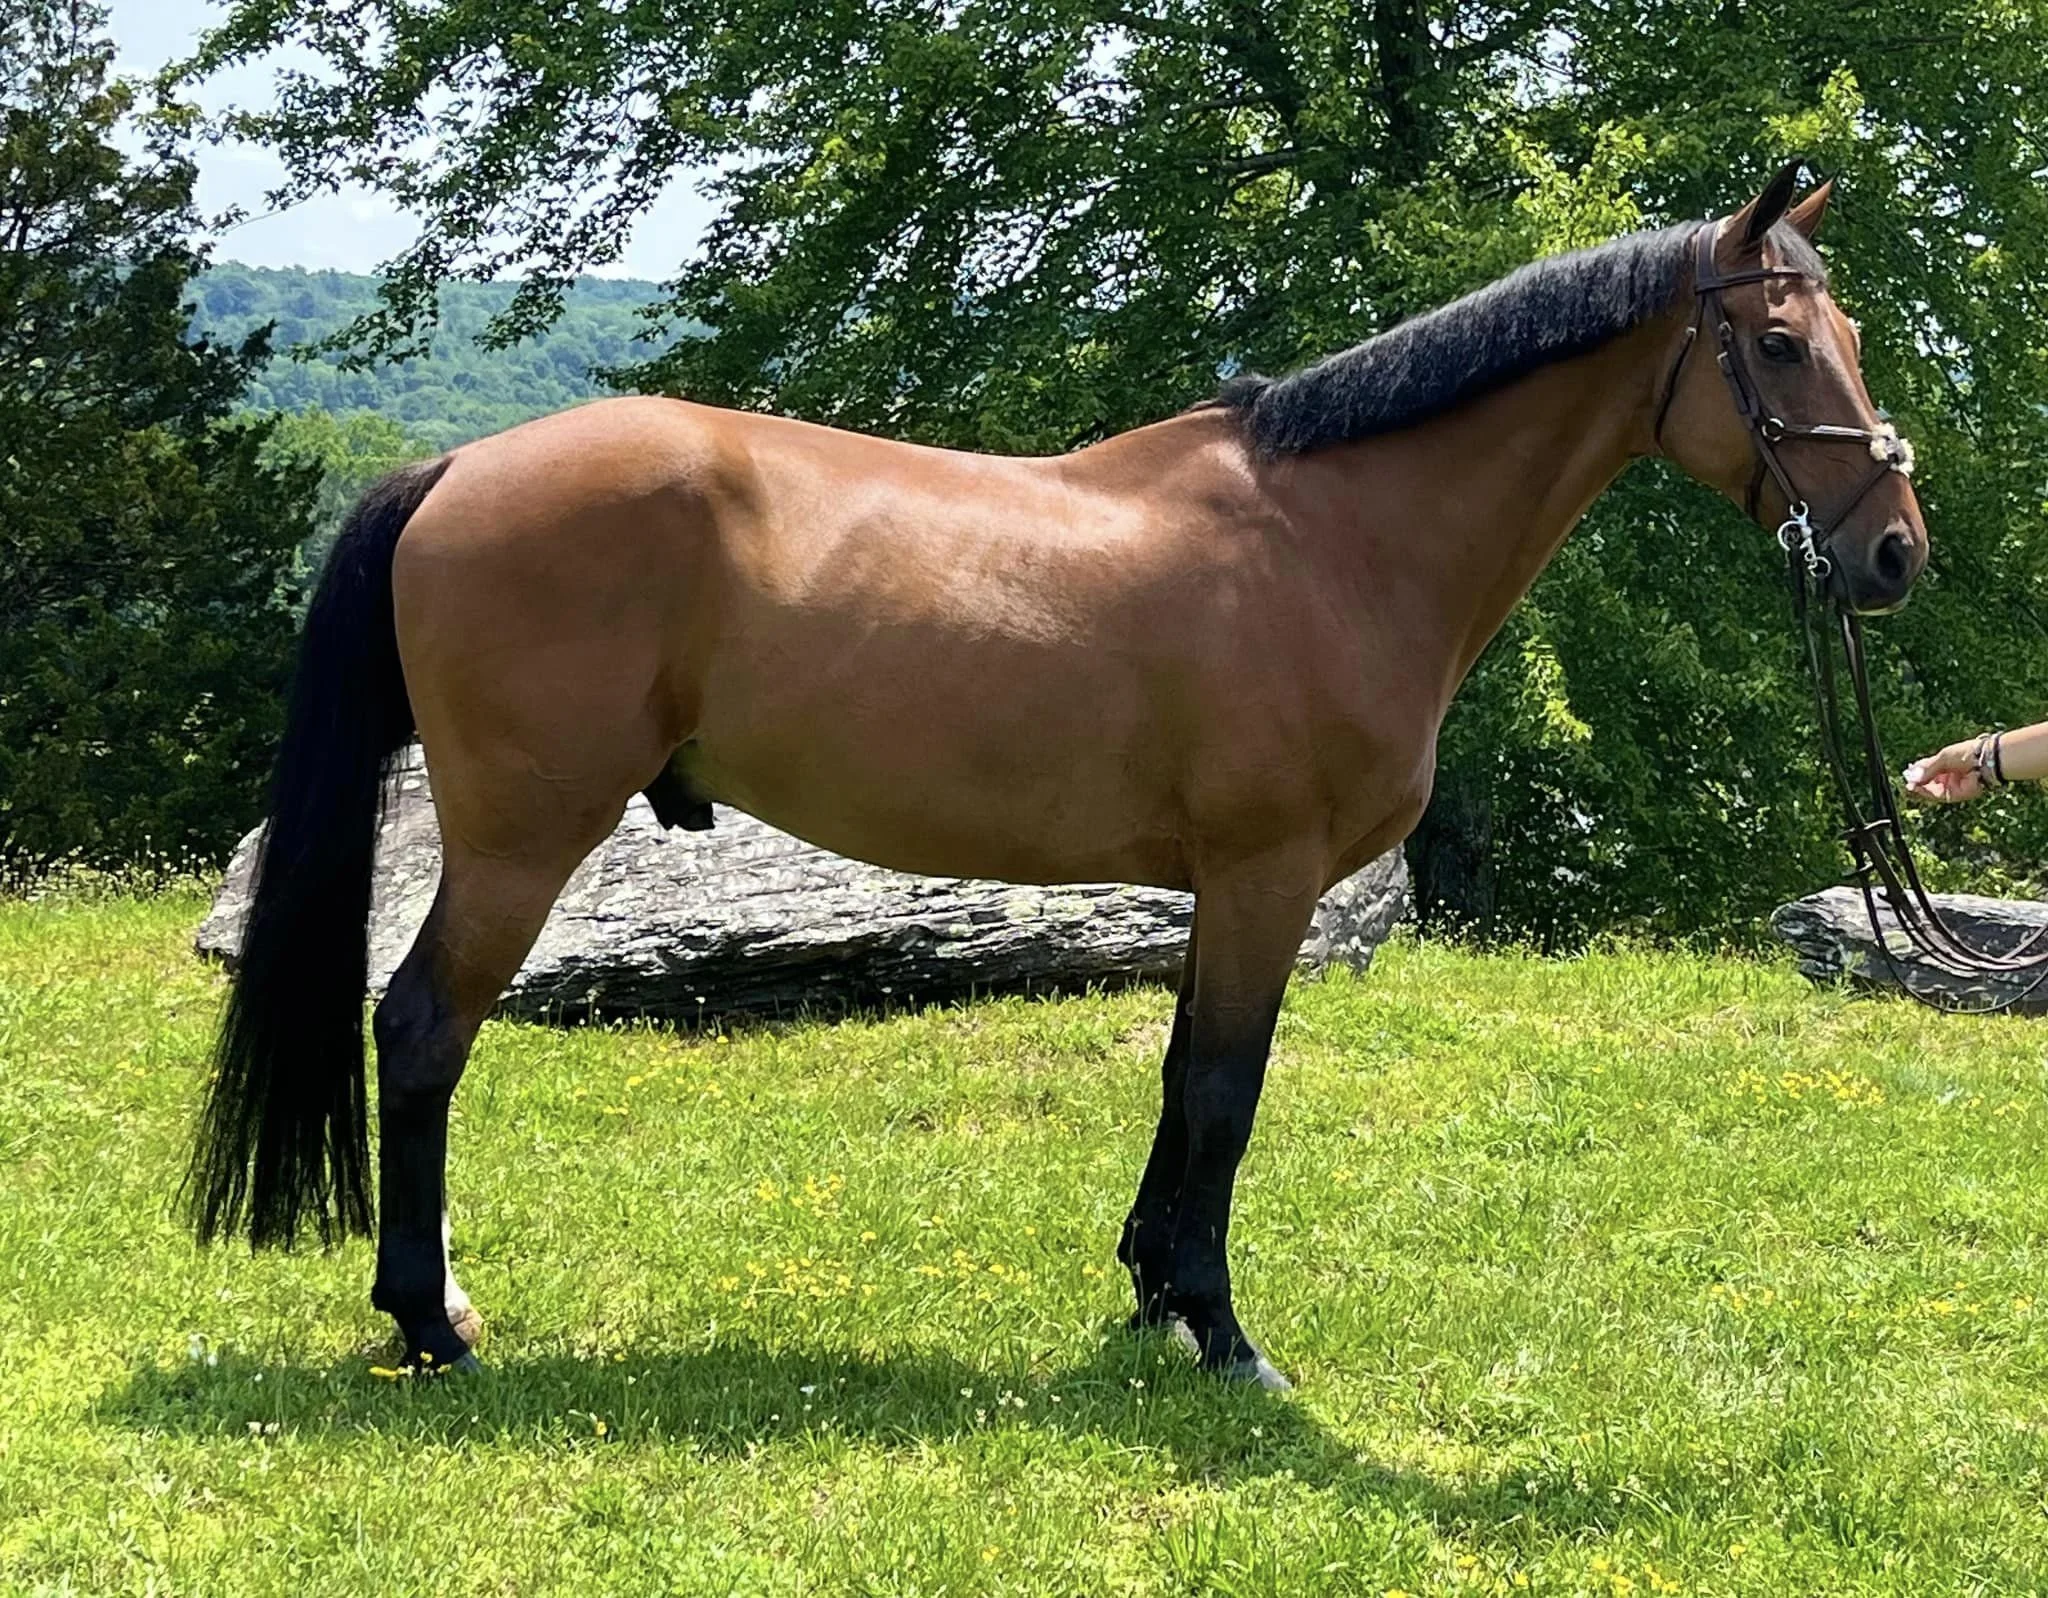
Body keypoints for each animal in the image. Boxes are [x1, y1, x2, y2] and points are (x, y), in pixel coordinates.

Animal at [186, 163, 1924, 1391]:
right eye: (1780, 345)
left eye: (1846, 336)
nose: (1895, 552)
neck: (1335, 536)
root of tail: (453, 467)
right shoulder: (1268, 878)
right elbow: (1223, 1091)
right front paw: (1224, 1332)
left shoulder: (1221, 888)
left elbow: (1178, 1084)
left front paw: (1154, 1293)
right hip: (520, 838)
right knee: (421, 1030)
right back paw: (432, 1321)